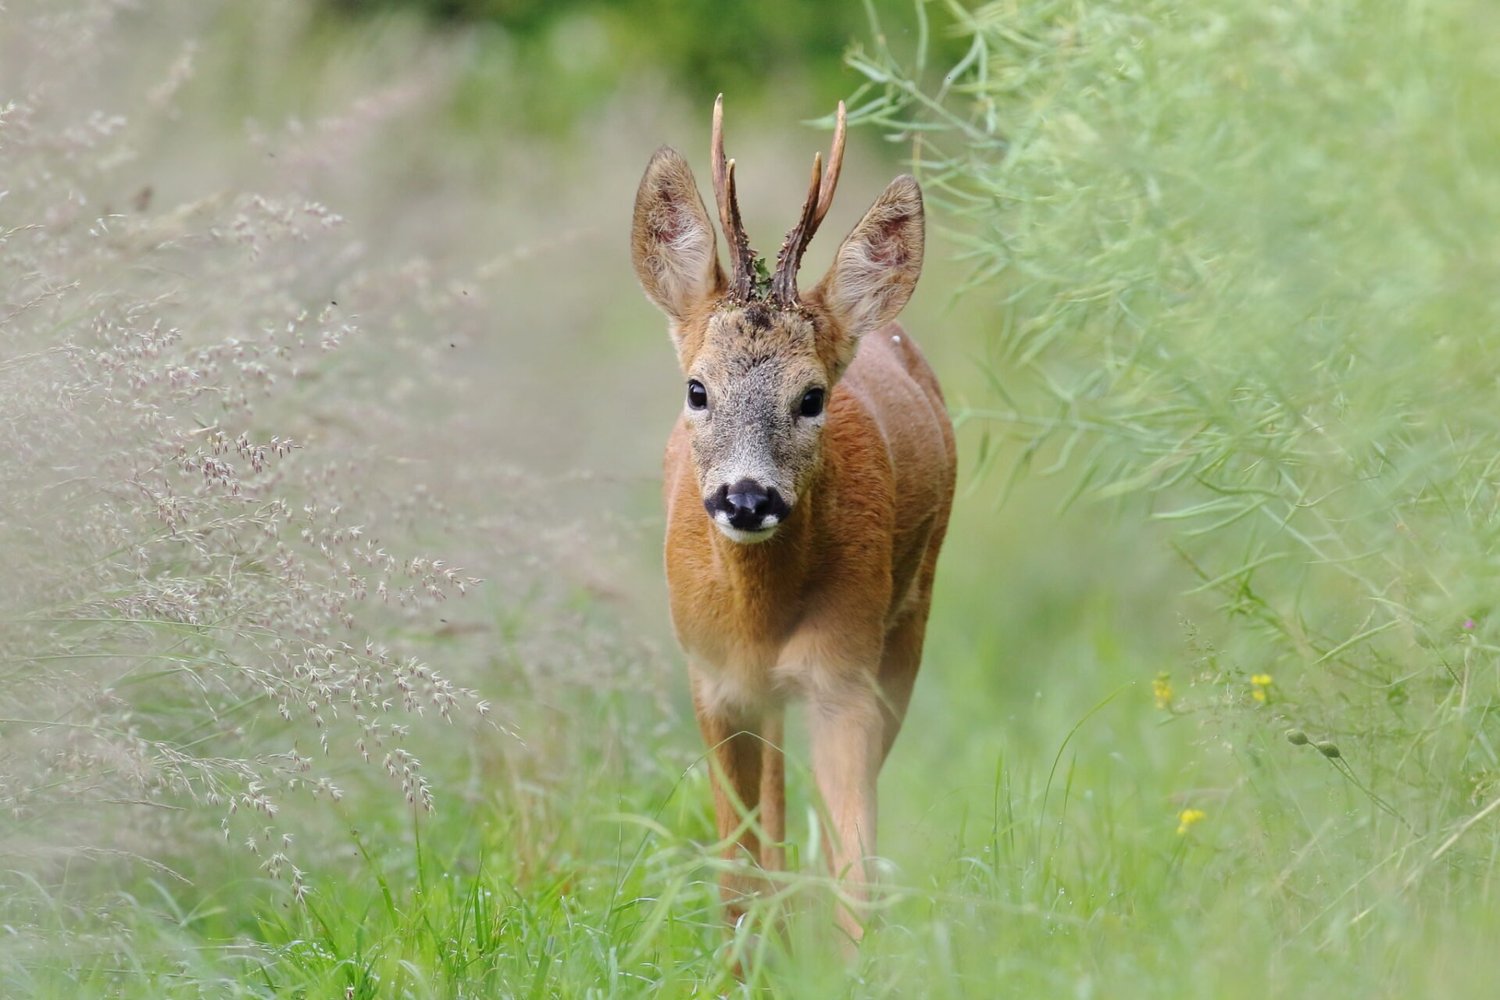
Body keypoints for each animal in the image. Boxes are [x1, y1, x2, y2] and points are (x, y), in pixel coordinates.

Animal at [629, 96, 956, 945]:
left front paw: (848, 957)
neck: (759, 618)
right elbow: (736, 876)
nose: (748, 499)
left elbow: (854, 868)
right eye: (697, 388)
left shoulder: (843, 667)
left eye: (811, 397)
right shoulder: (713, 679)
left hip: (910, 616)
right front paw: (751, 958)